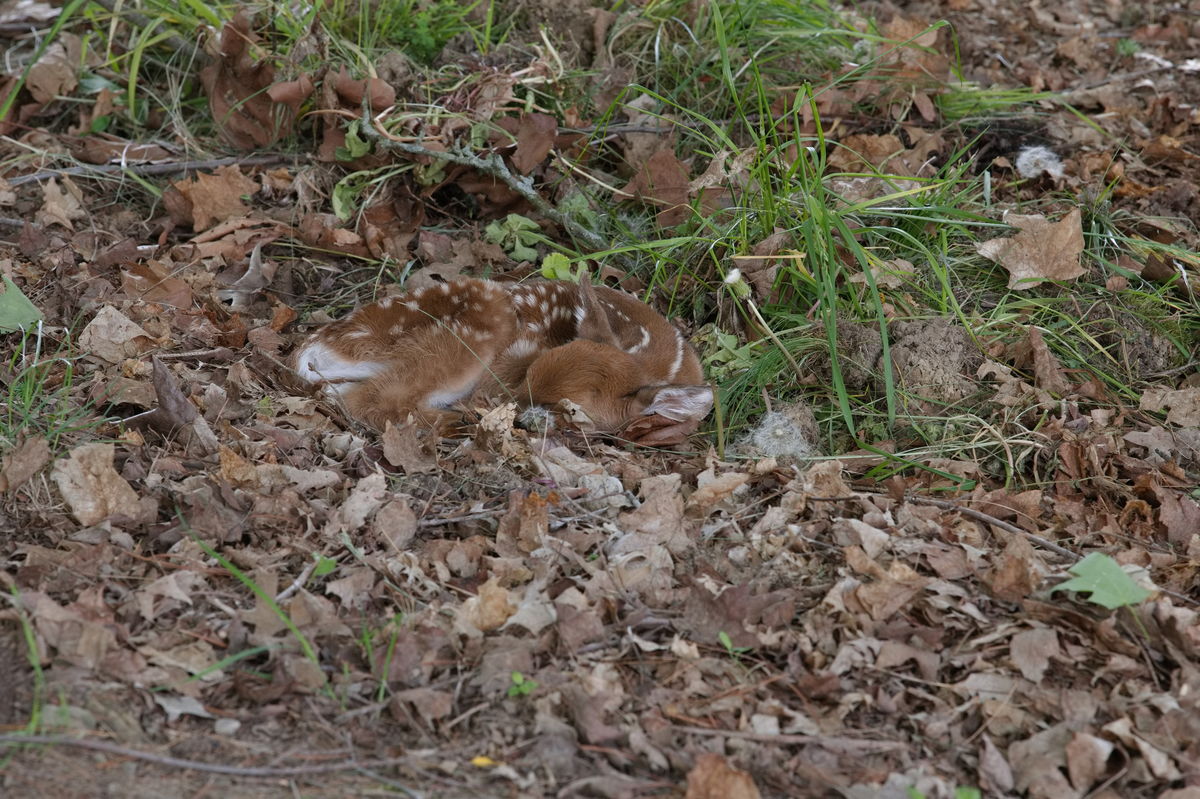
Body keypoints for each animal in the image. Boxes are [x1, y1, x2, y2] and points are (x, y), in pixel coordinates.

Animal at [291, 276, 714, 446]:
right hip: (479, 324)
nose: (519, 415)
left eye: (571, 409)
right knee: (371, 400)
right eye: (531, 372)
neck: (665, 361)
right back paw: (459, 422)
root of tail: (317, 343)